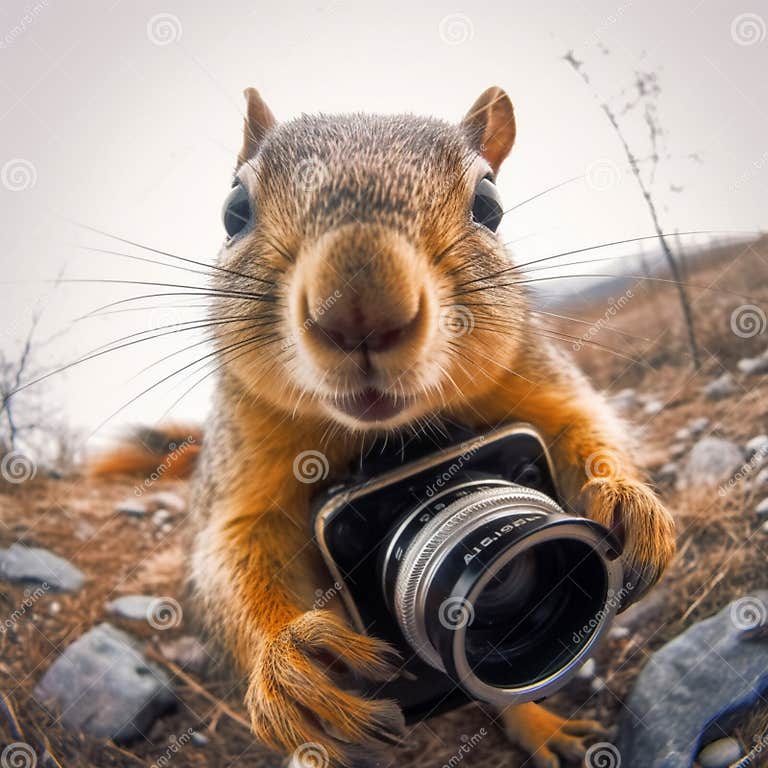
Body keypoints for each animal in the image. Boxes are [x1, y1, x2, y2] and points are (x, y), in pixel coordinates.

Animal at [94, 86, 676, 767]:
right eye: (234, 210)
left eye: (489, 204)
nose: (360, 312)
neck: (389, 441)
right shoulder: (243, 455)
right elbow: (234, 548)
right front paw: (288, 662)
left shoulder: (535, 378)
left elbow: (584, 426)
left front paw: (627, 504)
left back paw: (543, 727)